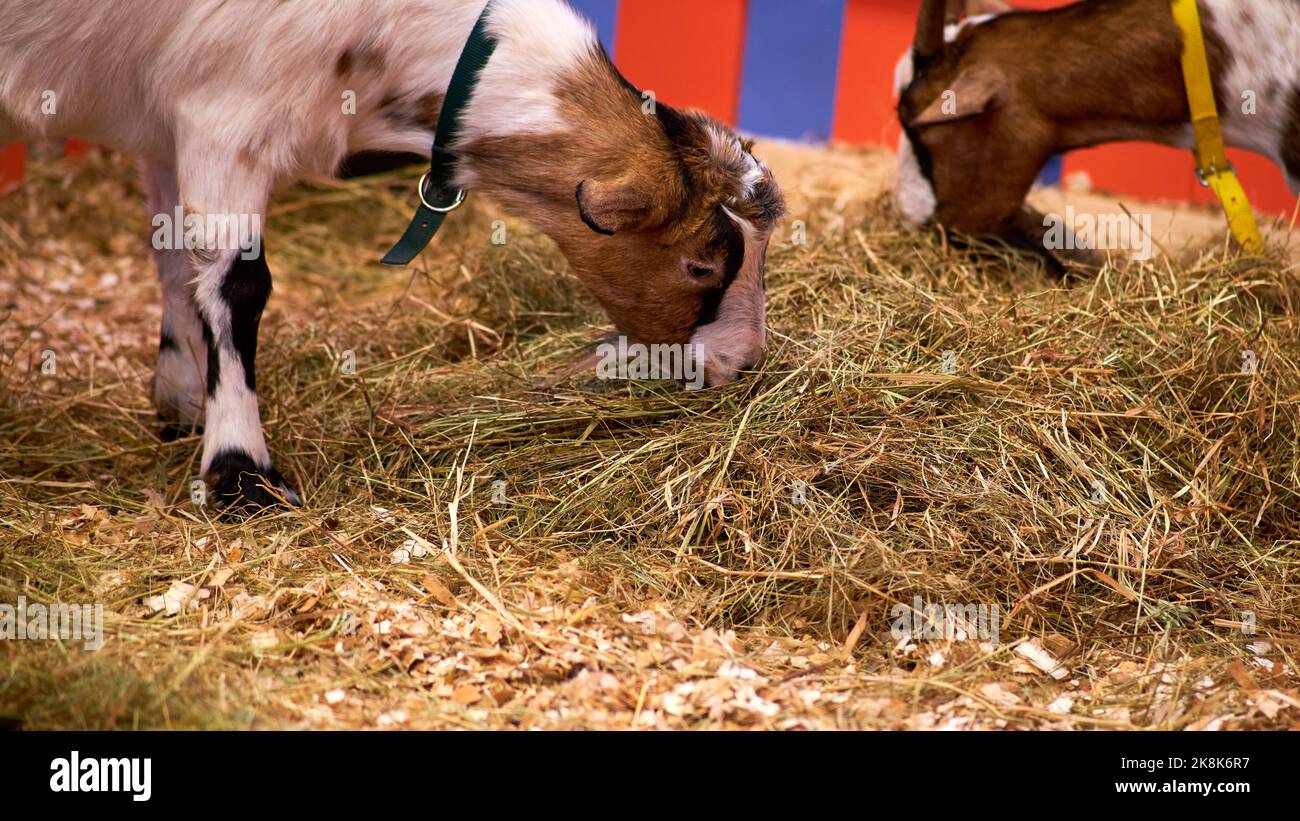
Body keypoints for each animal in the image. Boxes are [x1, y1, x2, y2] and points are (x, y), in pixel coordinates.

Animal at [0, 0, 785, 513]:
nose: (740, 360)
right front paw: (241, 474)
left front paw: (182, 399)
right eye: (702, 264)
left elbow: (174, 264)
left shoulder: (163, 121)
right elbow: (235, 286)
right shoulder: (225, 119)